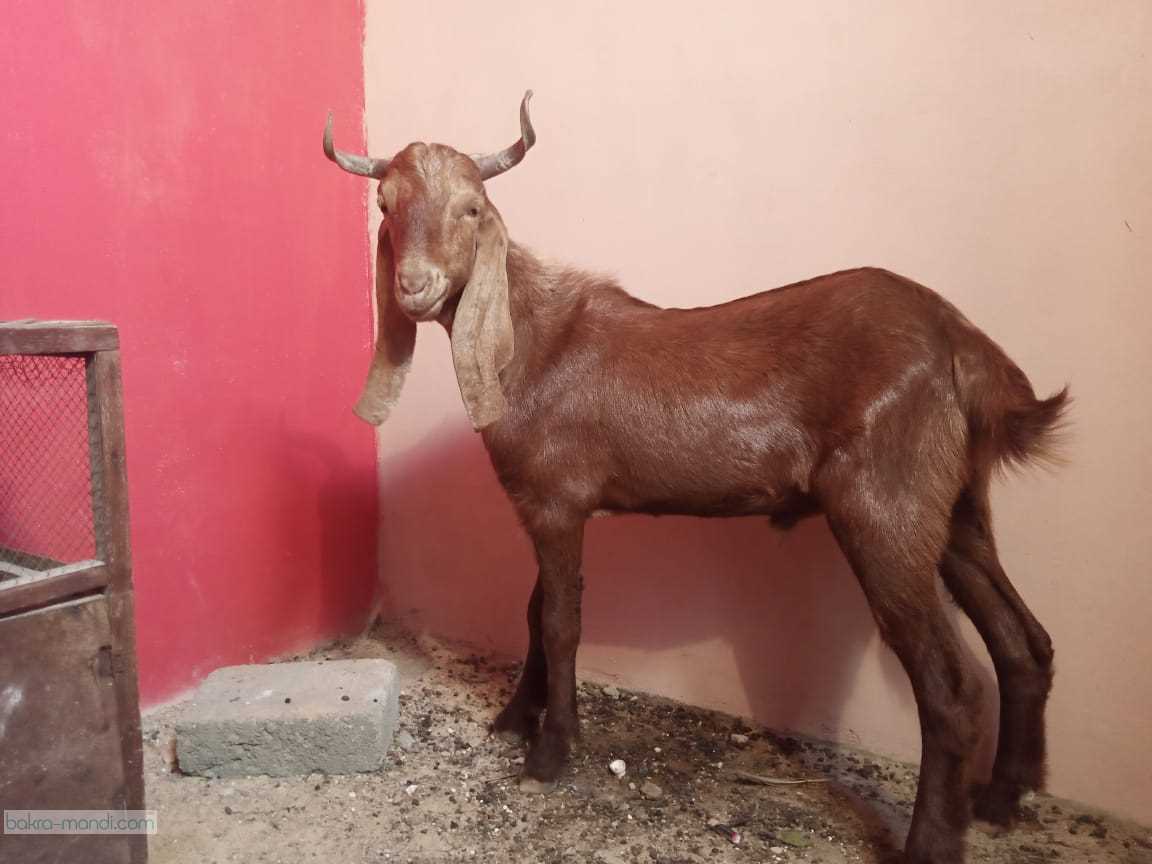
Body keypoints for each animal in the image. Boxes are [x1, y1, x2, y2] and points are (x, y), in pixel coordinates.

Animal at [324, 92, 1067, 864]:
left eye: (471, 207)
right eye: (385, 203)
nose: (415, 286)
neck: (530, 343)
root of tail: (965, 345)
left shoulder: (556, 501)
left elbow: (558, 621)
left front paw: (551, 750)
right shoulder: (547, 504)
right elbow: (535, 610)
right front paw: (517, 716)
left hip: (883, 507)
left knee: (951, 687)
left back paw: (931, 841)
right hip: (957, 505)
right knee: (1024, 642)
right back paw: (1002, 800)